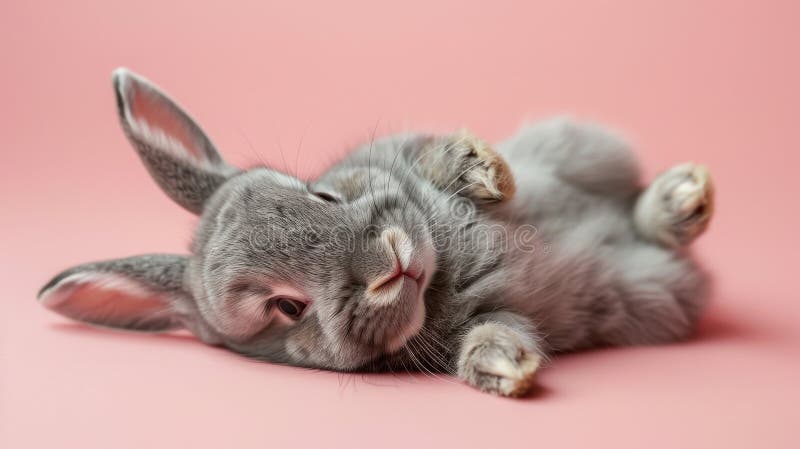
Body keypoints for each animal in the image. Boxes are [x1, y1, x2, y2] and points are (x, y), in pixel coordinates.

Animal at [38, 68, 714, 397]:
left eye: (323, 194)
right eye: (286, 307)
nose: (389, 263)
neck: (439, 276)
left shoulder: (407, 156)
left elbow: (437, 160)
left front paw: (482, 166)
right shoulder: (495, 319)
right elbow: (500, 332)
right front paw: (505, 369)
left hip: (583, 149)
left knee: (632, 204)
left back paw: (685, 195)